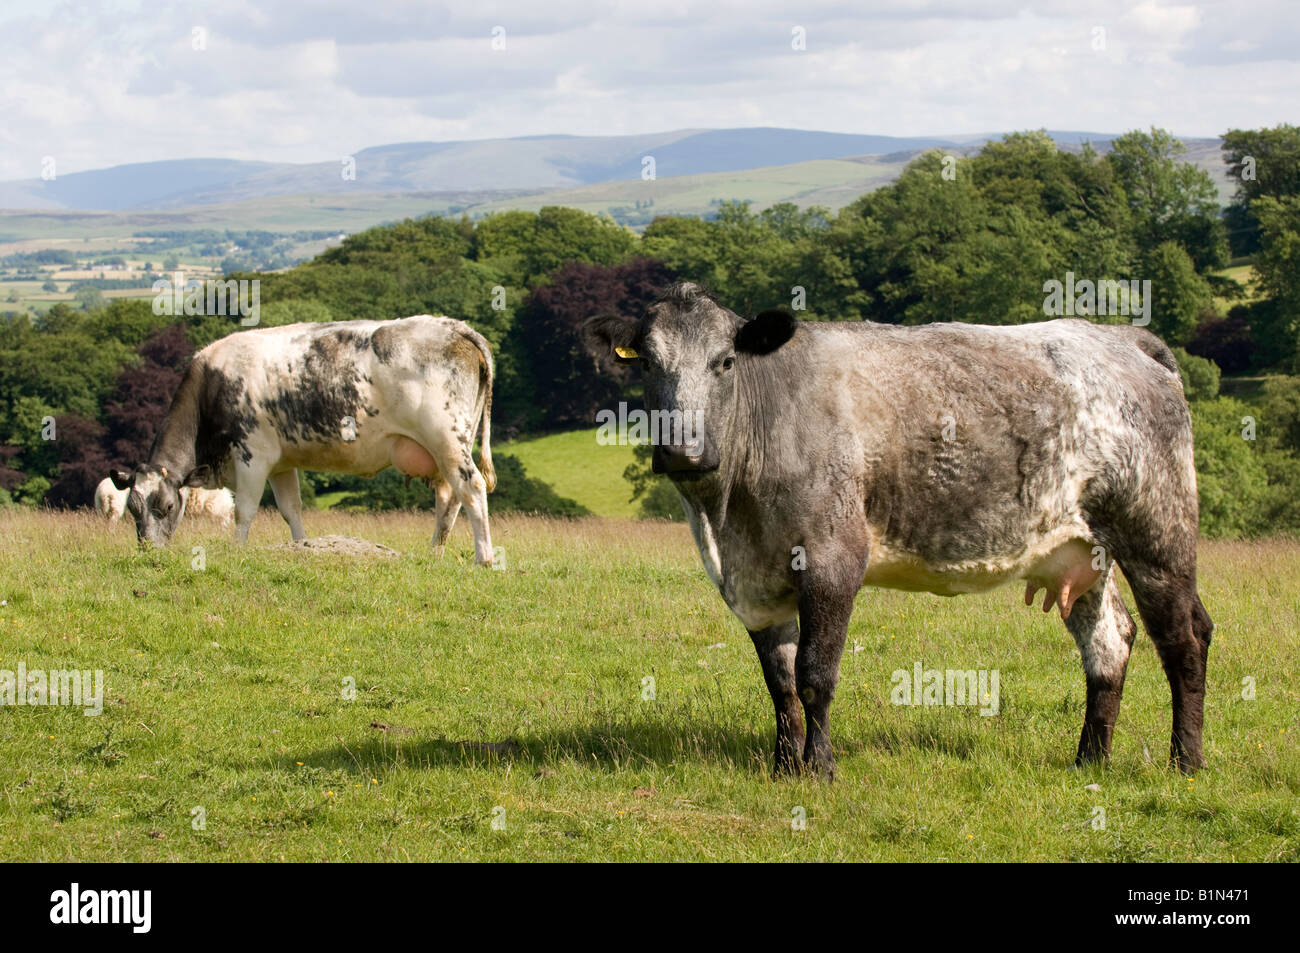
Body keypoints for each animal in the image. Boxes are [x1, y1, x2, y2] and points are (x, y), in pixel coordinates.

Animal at [109, 315, 496, 564]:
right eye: (133, 510)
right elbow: (291, 510)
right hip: (444, 448)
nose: (149, 552)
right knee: (449, 498)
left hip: (446, 438)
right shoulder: (281, 464)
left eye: (168, 507)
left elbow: (244, 510)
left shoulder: (252, 455)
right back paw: (435, 552)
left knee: (472, 488)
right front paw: (303, 546)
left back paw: (485, 558)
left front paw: (237, 550)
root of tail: (454, 327)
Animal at [584, 282, 1213, 780]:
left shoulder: (833, 559)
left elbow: (815, 673)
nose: (682, 450)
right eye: (646, 363)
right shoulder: (753, 584)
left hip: (1157, 533)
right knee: (1110, 643)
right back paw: (1090, 760)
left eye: (726, 363)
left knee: (1185, 636)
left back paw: (1185, 762)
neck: (728, 521)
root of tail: (1121, 339)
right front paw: (783, 768)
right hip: (1082, 550)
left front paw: (819, 768)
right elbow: (779, 682)